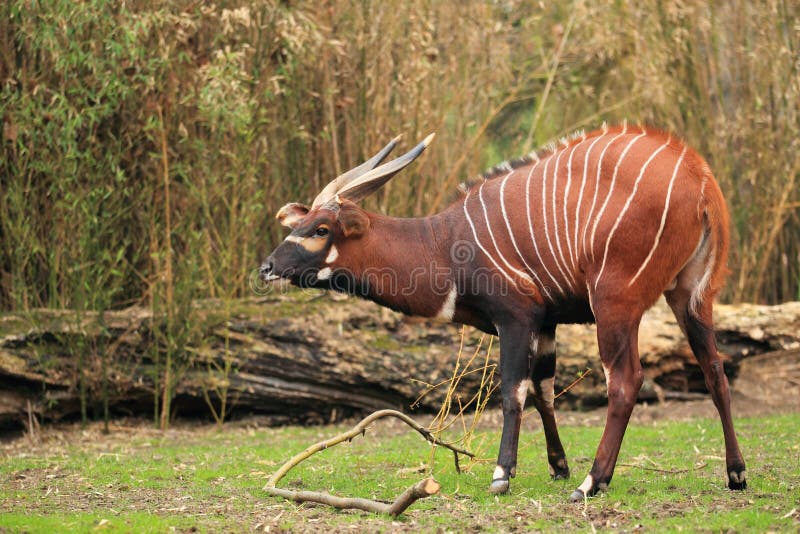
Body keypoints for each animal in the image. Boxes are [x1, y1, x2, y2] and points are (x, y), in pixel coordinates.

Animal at [260, 124, 747, 501]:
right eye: (302, 223)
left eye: (321, 229)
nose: (266, 268)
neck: (443, 243)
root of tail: (699, 177)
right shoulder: (546, 322)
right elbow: (544, 390)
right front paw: (558, 466)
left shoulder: (516, 317)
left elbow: (512, 391)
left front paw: (501, 476)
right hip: (691, 297)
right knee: (715, 371)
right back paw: (736, 473)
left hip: (615, 302)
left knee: (626, 381)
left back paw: (592, 484)